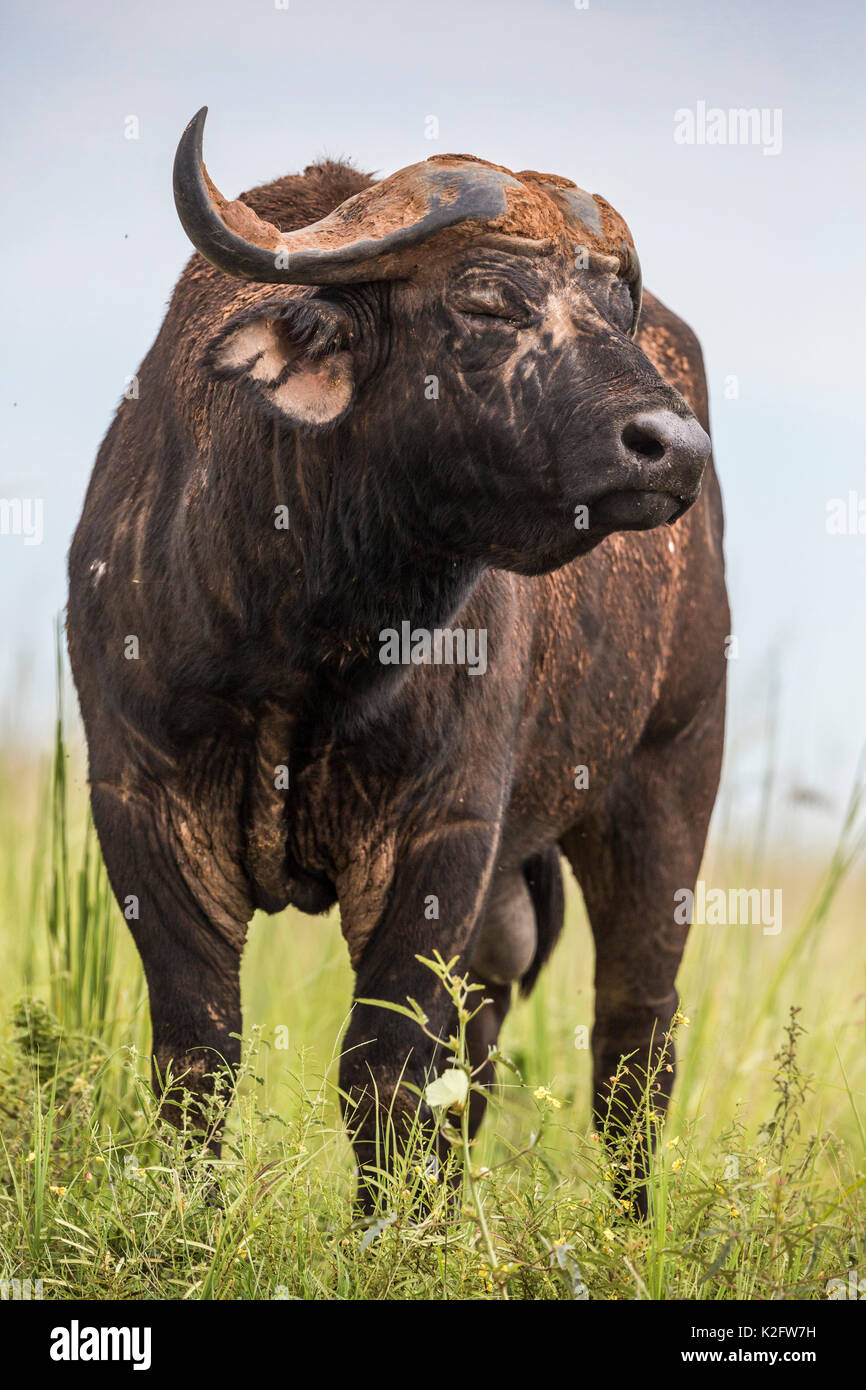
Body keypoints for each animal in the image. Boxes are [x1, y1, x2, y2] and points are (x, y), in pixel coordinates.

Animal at [68, 107, 729, 1213]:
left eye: (616, 311)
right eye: (485, 300)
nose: (672, 445)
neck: (302, 638)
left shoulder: (439, 829)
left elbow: (384, 1073)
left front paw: (389, 1231)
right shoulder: (141, 801)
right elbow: (198, 1058)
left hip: (667, 780)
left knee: (633, 1044)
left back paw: (631, 1227)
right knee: (486, 1048)